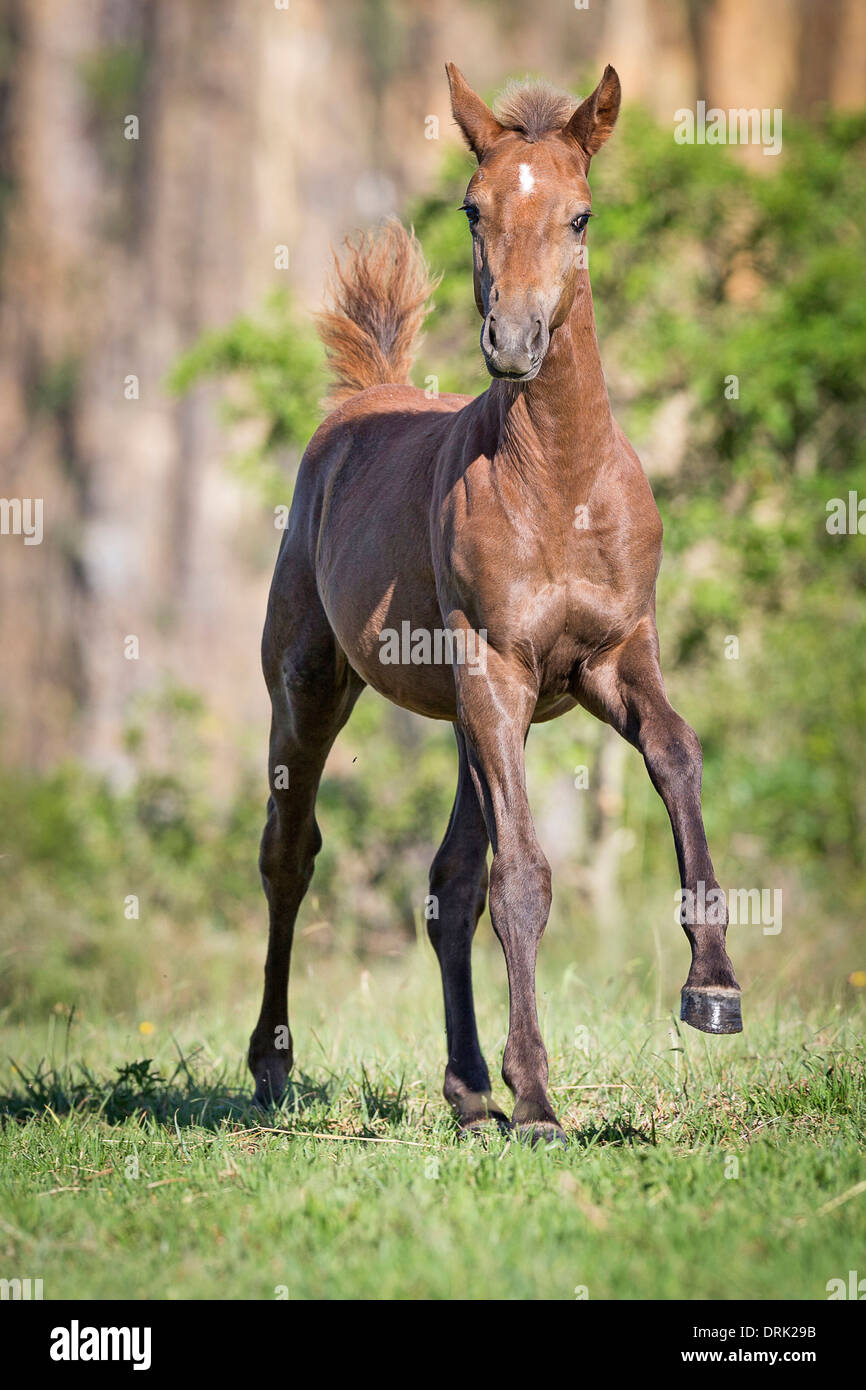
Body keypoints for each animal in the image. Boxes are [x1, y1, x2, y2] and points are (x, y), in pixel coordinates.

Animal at [247, 63, 742, 1143]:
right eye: (474, 209)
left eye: (580, 215)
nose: (513, 341)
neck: (558, 484)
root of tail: (361, 400)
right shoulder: (498, 670)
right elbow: (522, 878)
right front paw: (541, 1102)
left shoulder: (613, 657)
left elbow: (679, 755)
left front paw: (713, 989)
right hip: (317, 689)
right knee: (289, 855)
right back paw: (272, 1065)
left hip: (468, 719)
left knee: (445, 885)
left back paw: (469, 1093)